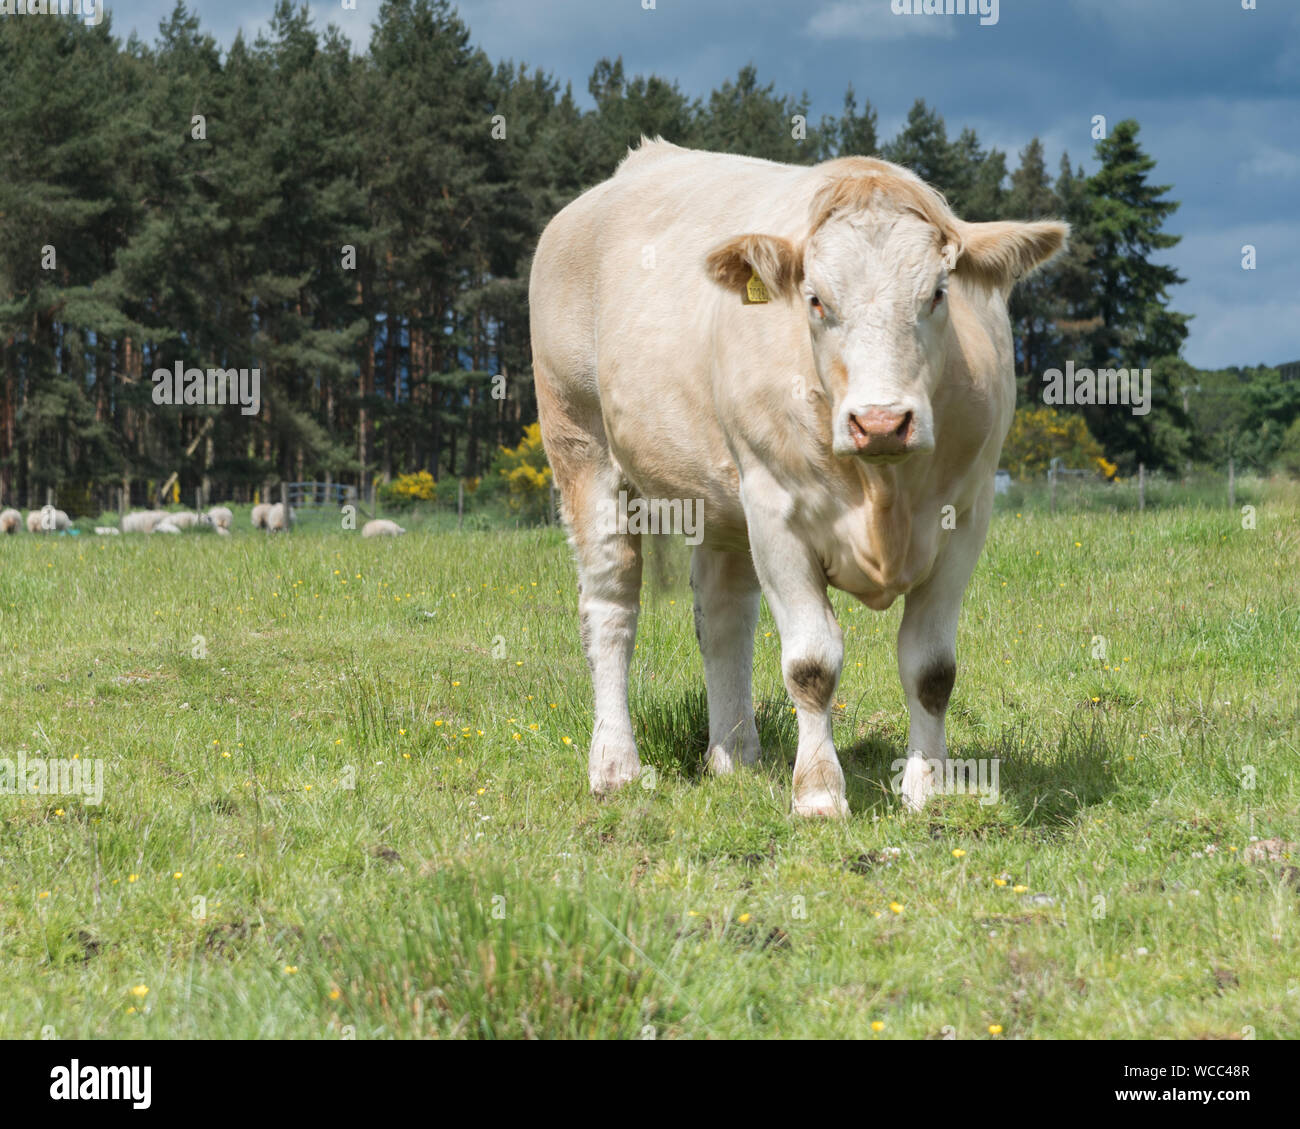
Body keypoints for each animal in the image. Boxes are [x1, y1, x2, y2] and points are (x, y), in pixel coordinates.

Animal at [529, 140, 1067, 817]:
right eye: (815, 299)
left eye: (939, 294)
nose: (881, 422)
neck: (882, 491)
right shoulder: (775, 510)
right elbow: (812, 664)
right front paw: (817, 796)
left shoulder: (966, 516)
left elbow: (931, 668)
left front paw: (928, 789)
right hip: (582, 446)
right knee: (610, 609)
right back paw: (615, 766)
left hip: (721, 498)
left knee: (724, 615)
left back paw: (735, 757)